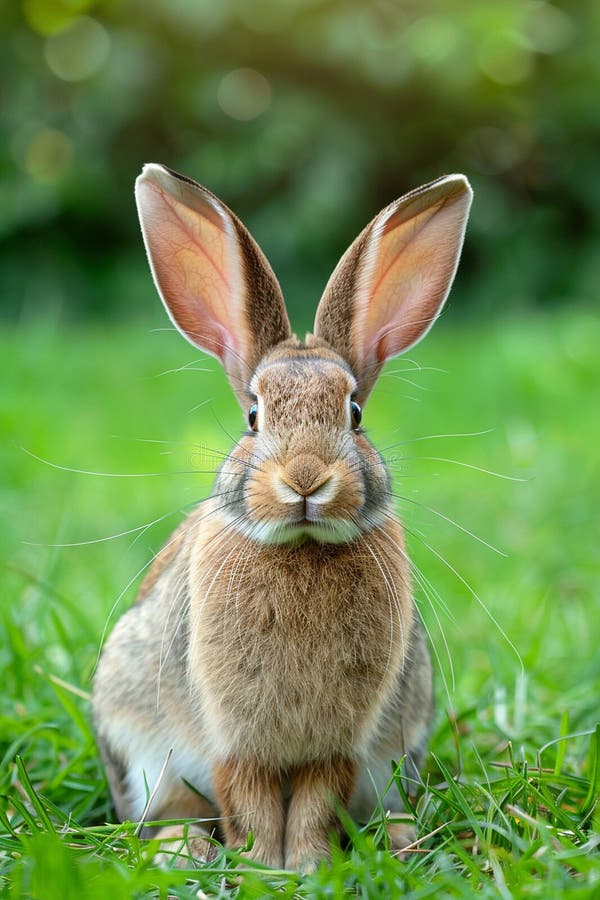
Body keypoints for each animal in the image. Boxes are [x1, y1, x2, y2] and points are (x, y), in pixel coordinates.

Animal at [92, 164, 472, 872]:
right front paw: (262, 865)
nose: (305, 479)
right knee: (170, 810)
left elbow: (318, 801)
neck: (300, 546)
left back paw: (401, 840)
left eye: (354, 414)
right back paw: (184, 850)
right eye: (253, 416)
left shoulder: (339, 747)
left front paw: (306, 866)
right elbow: (249, 801)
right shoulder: (234, 742)